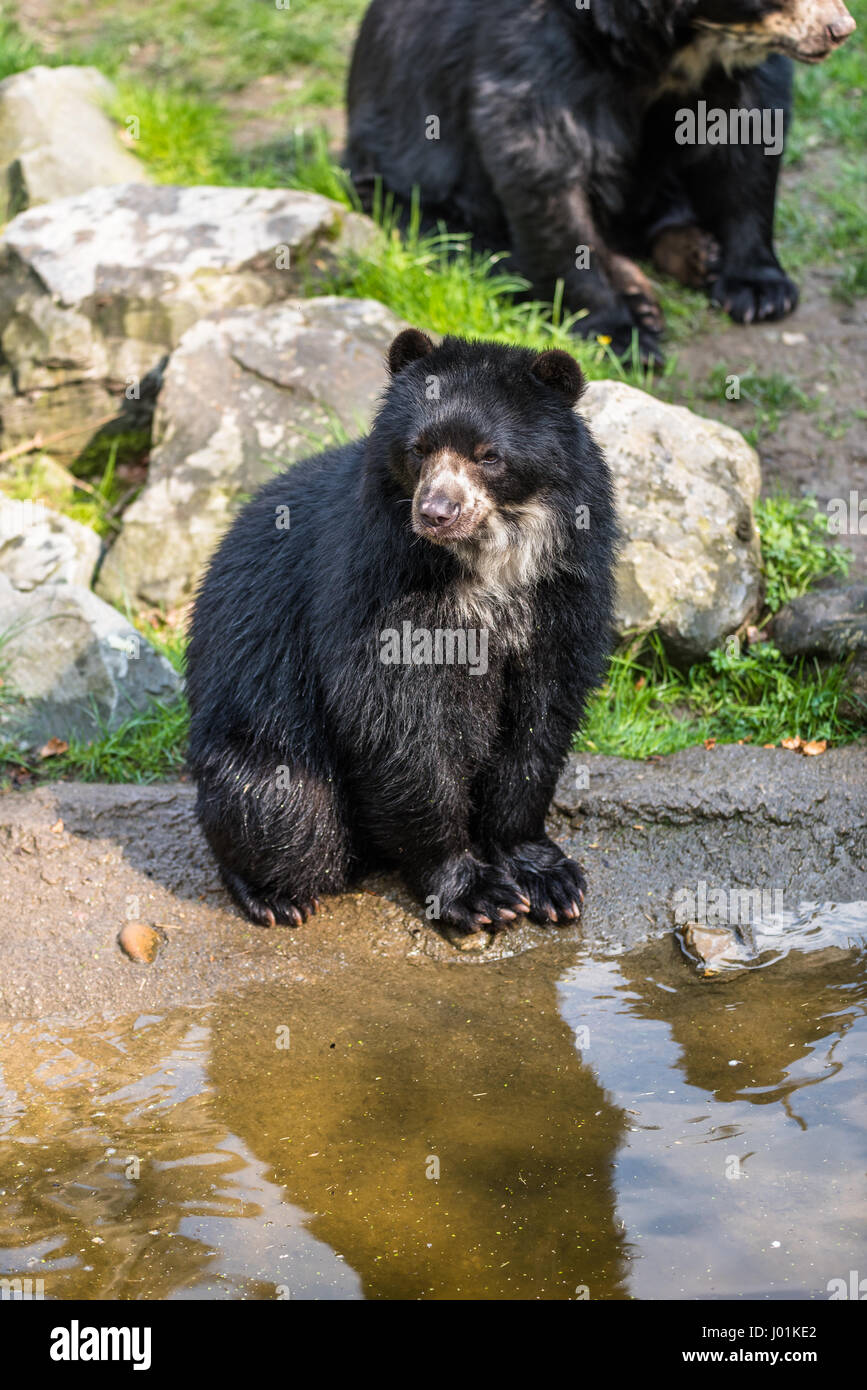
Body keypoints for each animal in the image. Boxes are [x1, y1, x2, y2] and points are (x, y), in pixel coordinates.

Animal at [185, 330, 616, 937]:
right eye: (418, 449)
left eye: (489, 455)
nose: (436, 511)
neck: (487, 566)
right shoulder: (377, 578)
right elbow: (394, 716)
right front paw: (475, 892)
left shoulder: (565, 590)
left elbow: (543, 716)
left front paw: (549, 878)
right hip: (258, 732)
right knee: (287, 810)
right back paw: (274, 896)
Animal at [346, 0, 856, 362]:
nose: (841, 28)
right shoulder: (536, 52)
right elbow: (542, 164)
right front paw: (623, 335)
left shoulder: (737, 75)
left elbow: (749, 143)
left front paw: (760, 292)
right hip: (395, 182)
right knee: (463, 239)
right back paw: (639, 295)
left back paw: (697, 253)